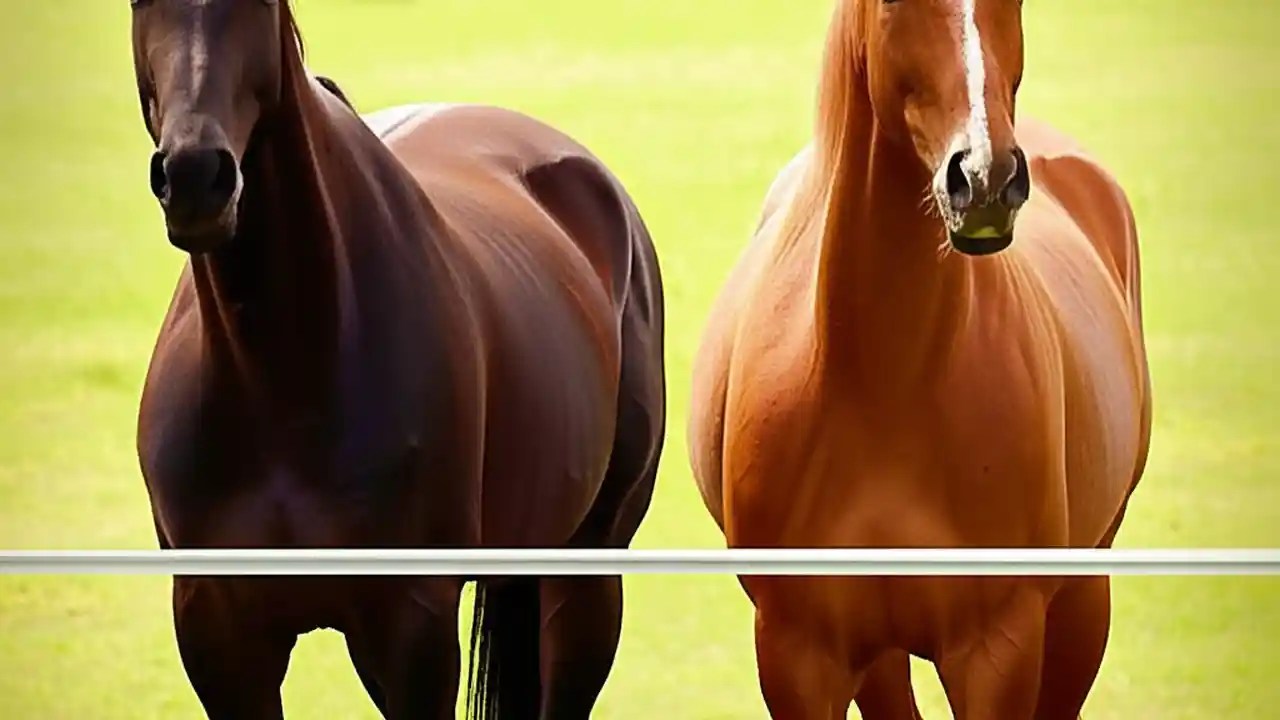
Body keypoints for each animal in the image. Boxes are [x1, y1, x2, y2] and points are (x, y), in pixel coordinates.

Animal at [129, 2, 666, 718]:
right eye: (138, 6)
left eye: (261, 8)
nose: (195, 176)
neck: (285, 372)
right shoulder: (217, 632)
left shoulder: (412, 625)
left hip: (587, 575)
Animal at [688, 1, 1152, 718]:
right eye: (891, 7)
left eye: (1017, 4)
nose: (986, 178)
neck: (882, 381)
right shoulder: (798, 654)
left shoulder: (997, 650)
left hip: (1081, 601)